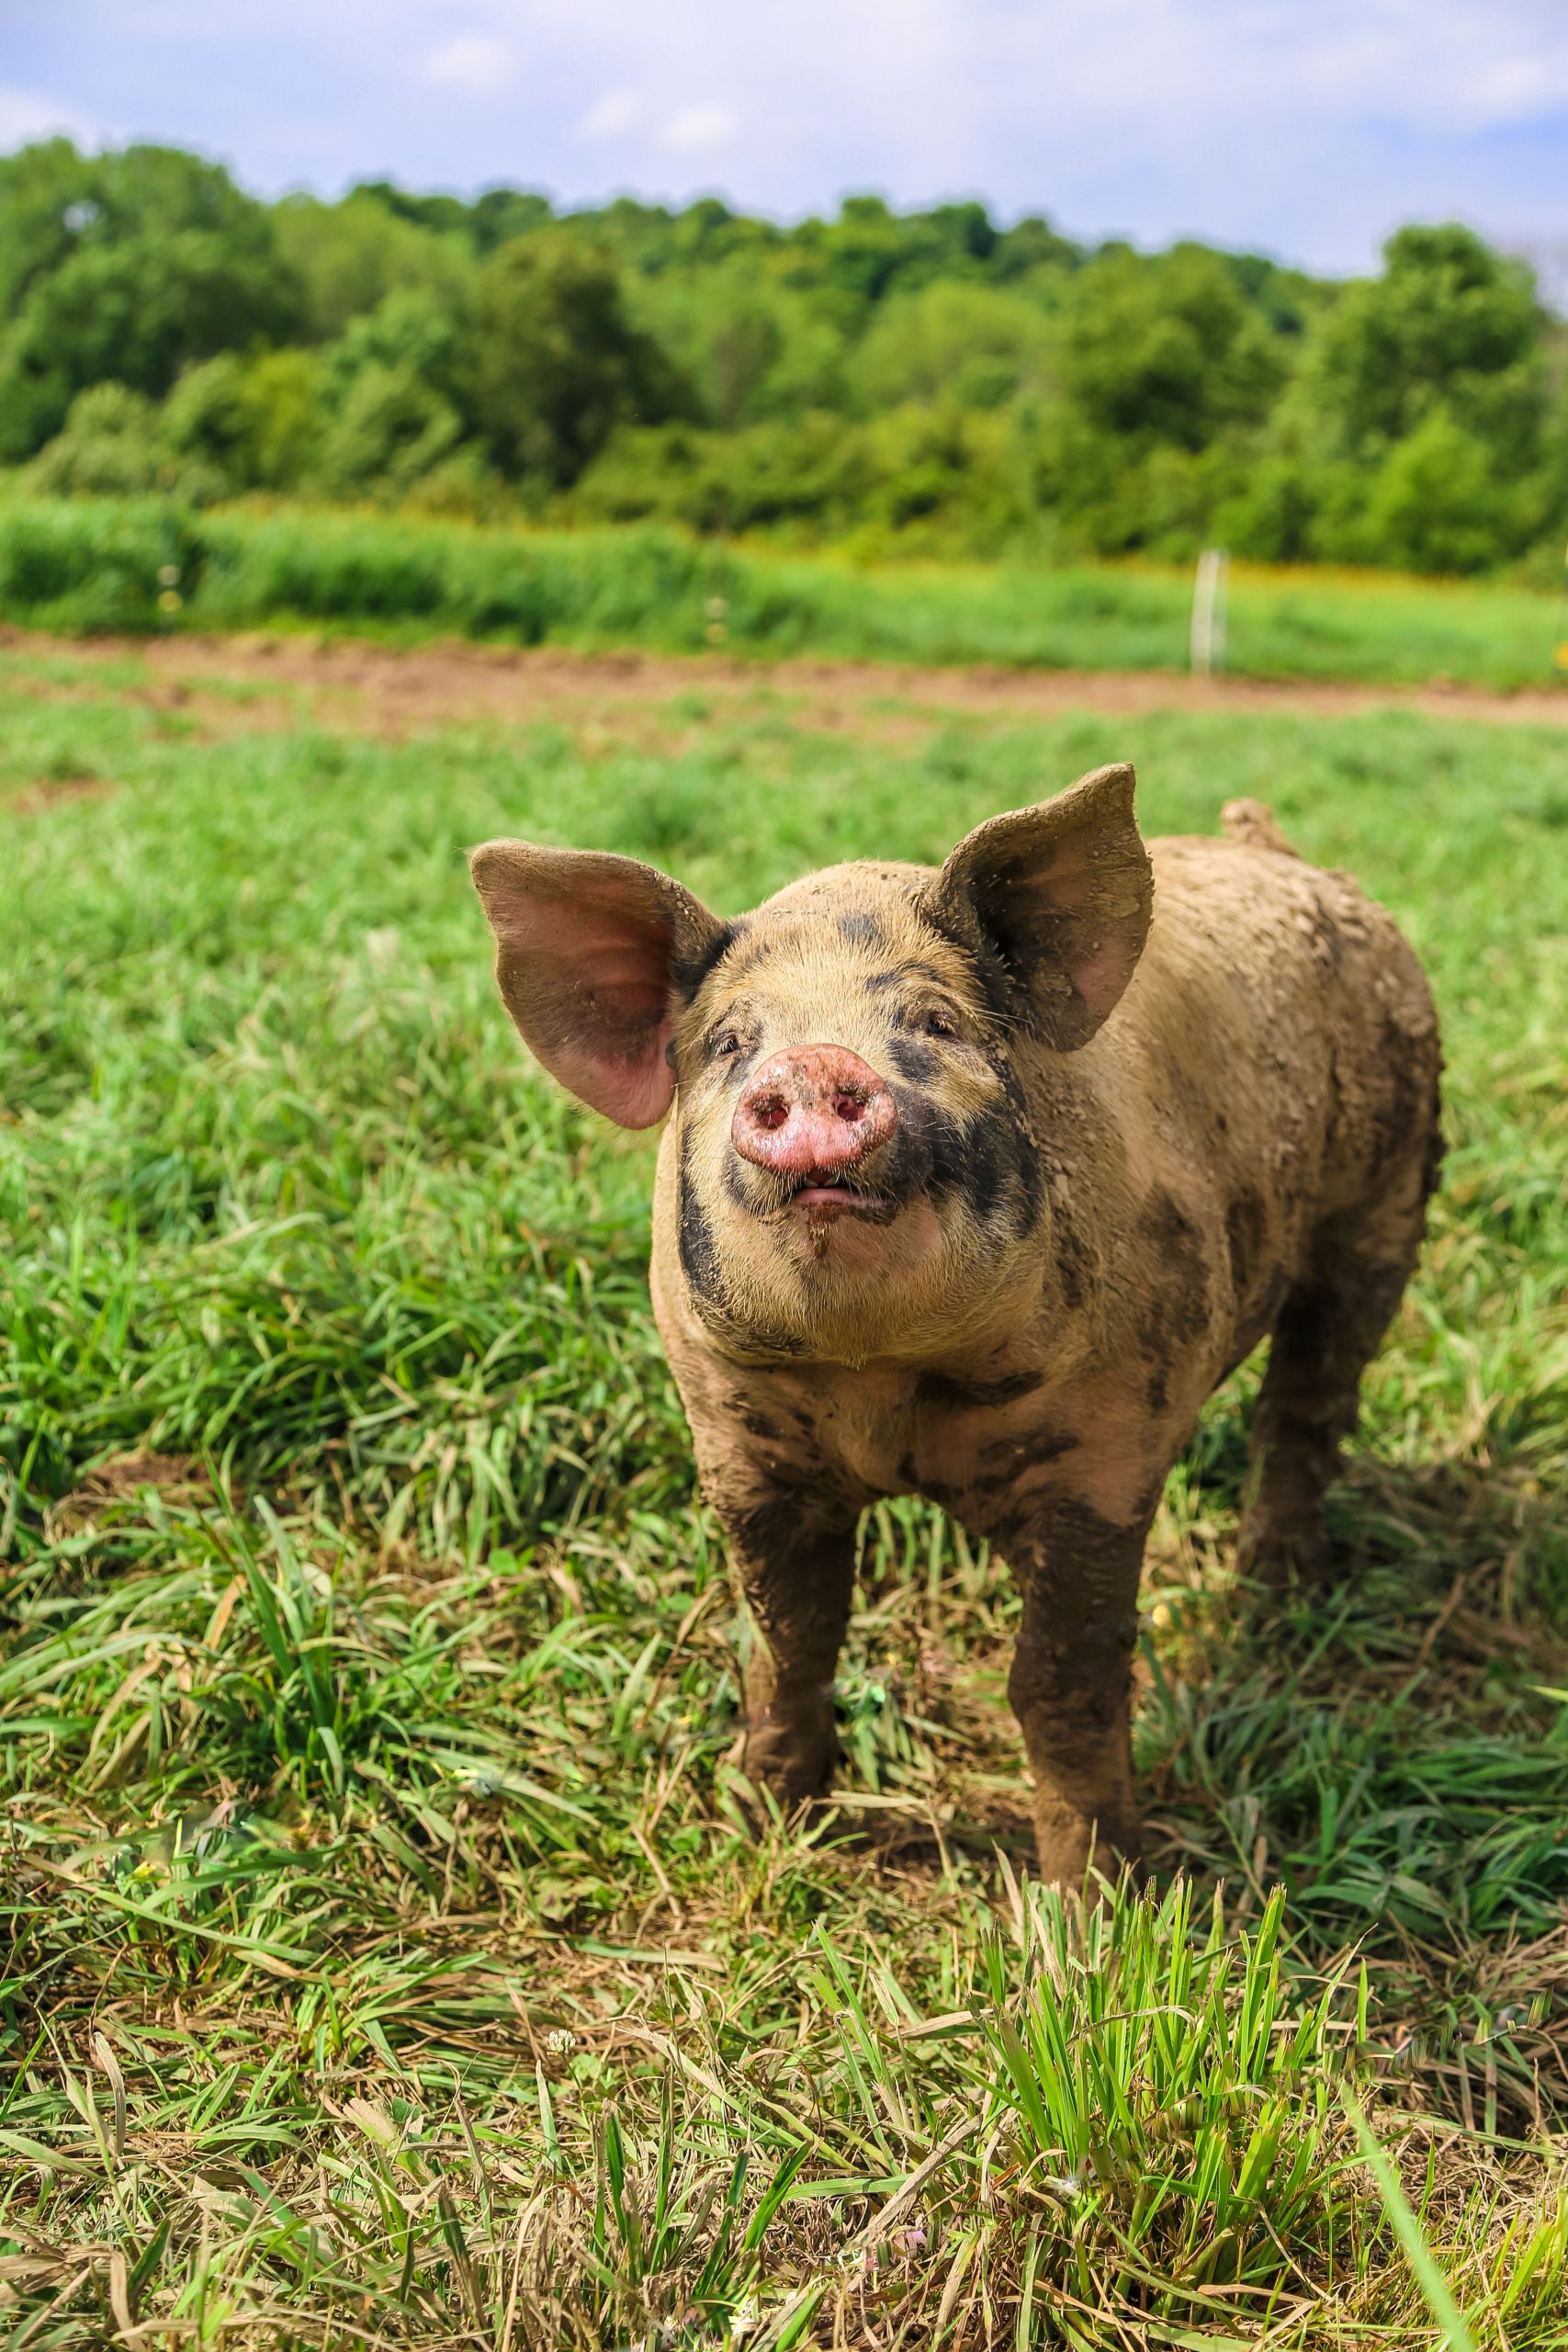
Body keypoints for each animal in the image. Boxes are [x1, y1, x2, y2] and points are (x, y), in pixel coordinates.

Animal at [471, 764, 1441, 1885]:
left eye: (934, 1023)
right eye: (728, 1045)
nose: (814, 1063)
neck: (884, 1384)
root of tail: (1274, 849)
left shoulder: (1108, 1448)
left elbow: (1059, 1680)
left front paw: (1091, 1902)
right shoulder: (736, 1437)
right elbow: (792, 1634)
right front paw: (759, 1821)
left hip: (1391, 1193)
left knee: (1310, 1399)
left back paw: (1278, 1590)